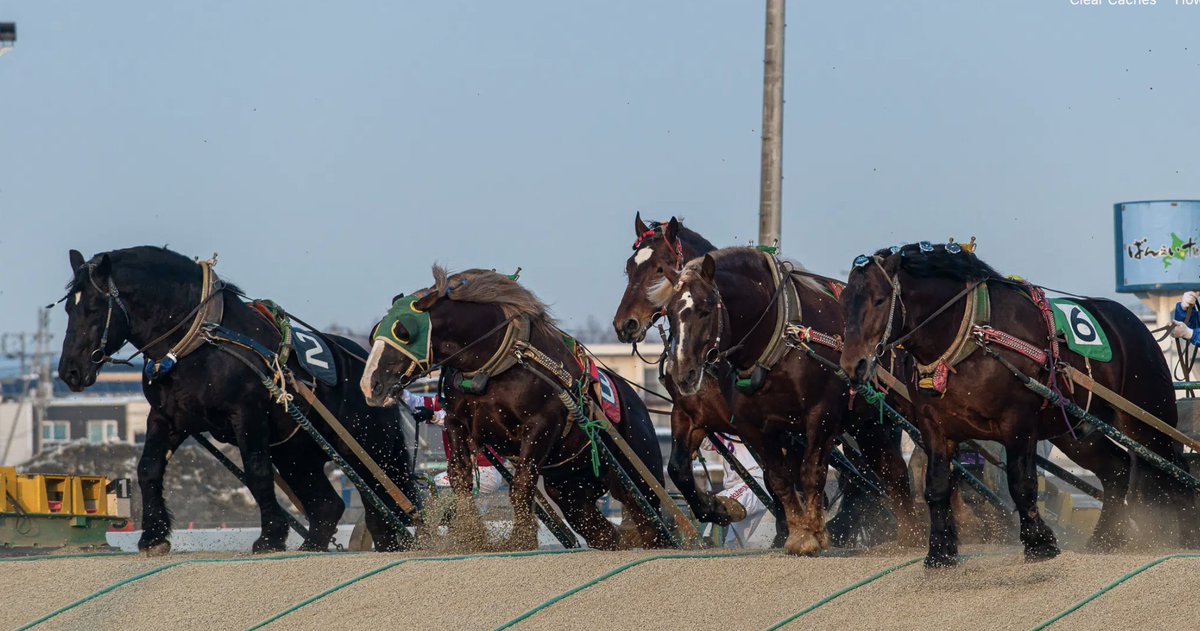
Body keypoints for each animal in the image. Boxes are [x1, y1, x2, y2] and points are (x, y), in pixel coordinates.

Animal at [56, 246, 420, 554]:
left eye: (92, 308)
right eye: (69, 307)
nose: (69, 370)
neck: (199, 341)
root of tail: (368, 367)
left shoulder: (247, 414)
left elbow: (257, 471)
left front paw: (270, 536)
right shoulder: (166, 417)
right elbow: (148, 468)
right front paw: (153, 536)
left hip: (367, 446)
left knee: (383, 495)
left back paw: (392, 539)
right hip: (296, 451)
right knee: (329, 505)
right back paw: (318, 544)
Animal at [360, 266, 672, 550]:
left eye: (403, 331)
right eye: (374, 333)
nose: (370, 385)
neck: (498, 360)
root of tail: (639, 405)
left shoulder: (541, 425)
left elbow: (521, 484)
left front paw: (521, 538)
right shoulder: (456, 422)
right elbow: (461, 477)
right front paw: (470, 535)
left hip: (639, 479)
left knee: (651, 523)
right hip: (571, 487)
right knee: (602, 531)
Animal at [612, 214, 916, 550]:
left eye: (659, 267)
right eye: (629, 267)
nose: (625, 324)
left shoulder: (813, 417)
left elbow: (801, 474)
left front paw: (802, 531)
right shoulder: (700, 416)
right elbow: (681, 469)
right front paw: (722, 509)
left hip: (879, 421)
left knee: (885, 476)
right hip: (863, 424)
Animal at [839, 242, 1198, 567]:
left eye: (879, 300)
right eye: (844, 302)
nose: (853, 364)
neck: (973, 336)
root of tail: (1139, 327)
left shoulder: (1018, 424)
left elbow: (1021, 483)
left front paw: (1040, 543)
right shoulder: (935, 429)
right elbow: (936, 486)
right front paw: (940, 551)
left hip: (1146, 420)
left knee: (1177, 470)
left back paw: (1185, 534)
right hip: (1074, 431)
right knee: (1118, 470)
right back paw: (1105, 539)